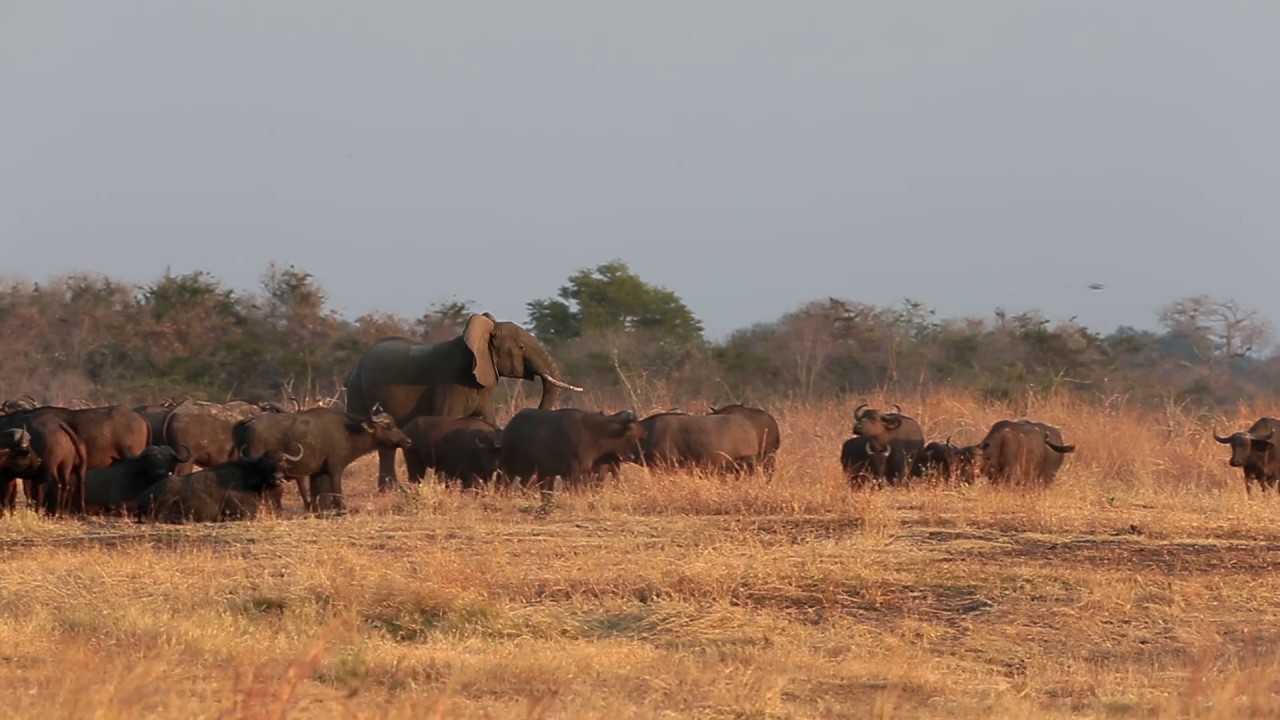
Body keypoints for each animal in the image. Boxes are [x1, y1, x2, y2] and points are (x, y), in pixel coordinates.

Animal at [344, 312, 583, 490]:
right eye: (522, 347)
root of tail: (356, 364)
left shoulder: (483, 380)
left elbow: (488, 421)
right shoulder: (450, 381)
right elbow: (449, 419)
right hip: (357, 390)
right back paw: (393, 491)